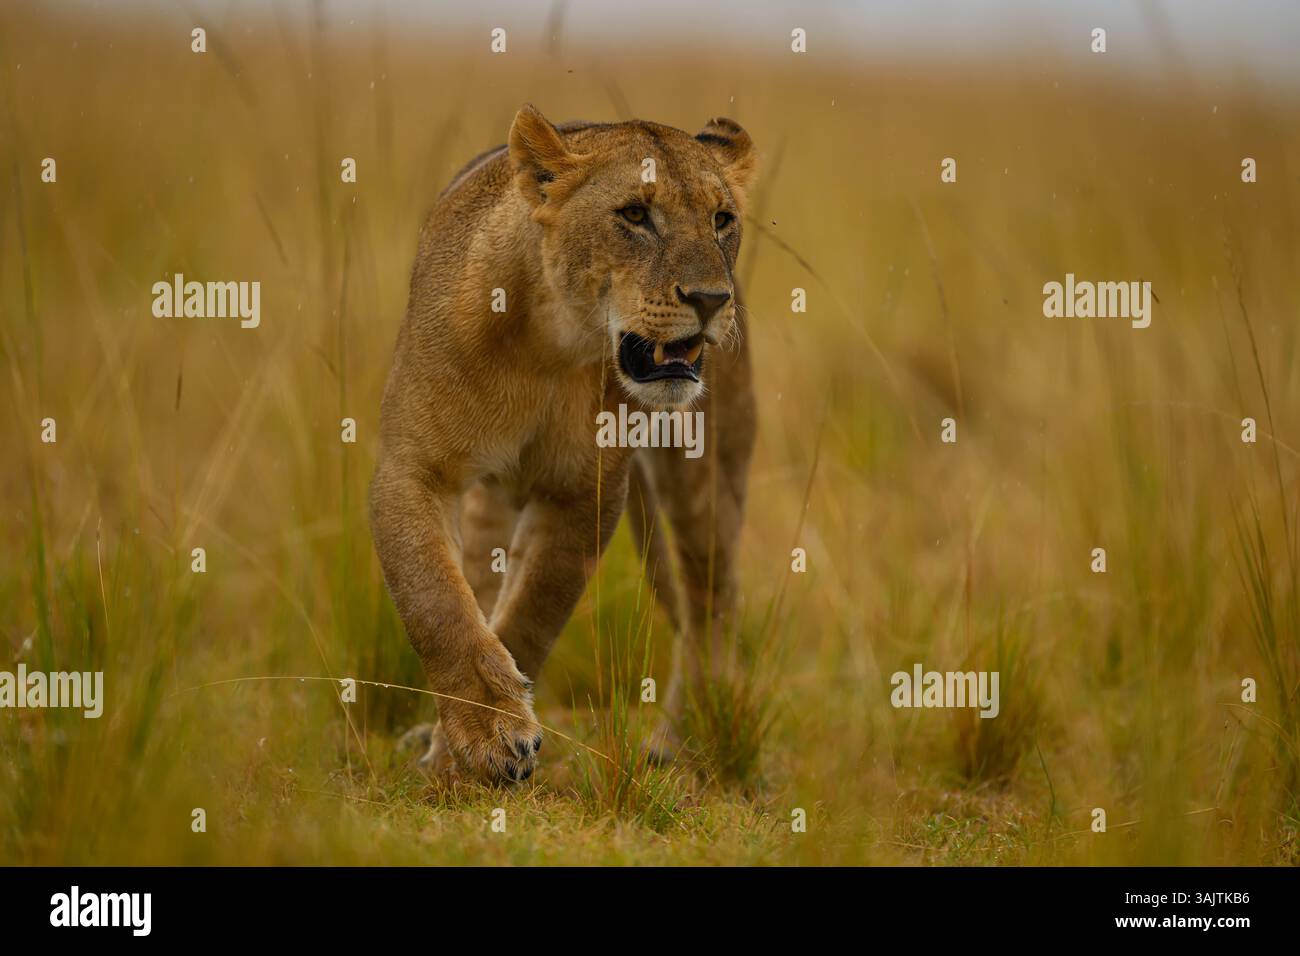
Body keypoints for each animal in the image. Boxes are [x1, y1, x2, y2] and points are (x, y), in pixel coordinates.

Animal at [369, 105, 757, 784]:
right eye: (635, 214)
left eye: (721, 219)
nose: (712, 300)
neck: (549, 344)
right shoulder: (413, 466)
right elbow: (438, 603)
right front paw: (481, 737)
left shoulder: (584, 492)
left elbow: (532, 613)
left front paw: (481, 748)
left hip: (701, 478)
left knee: (709, 604)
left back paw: (681, 742)